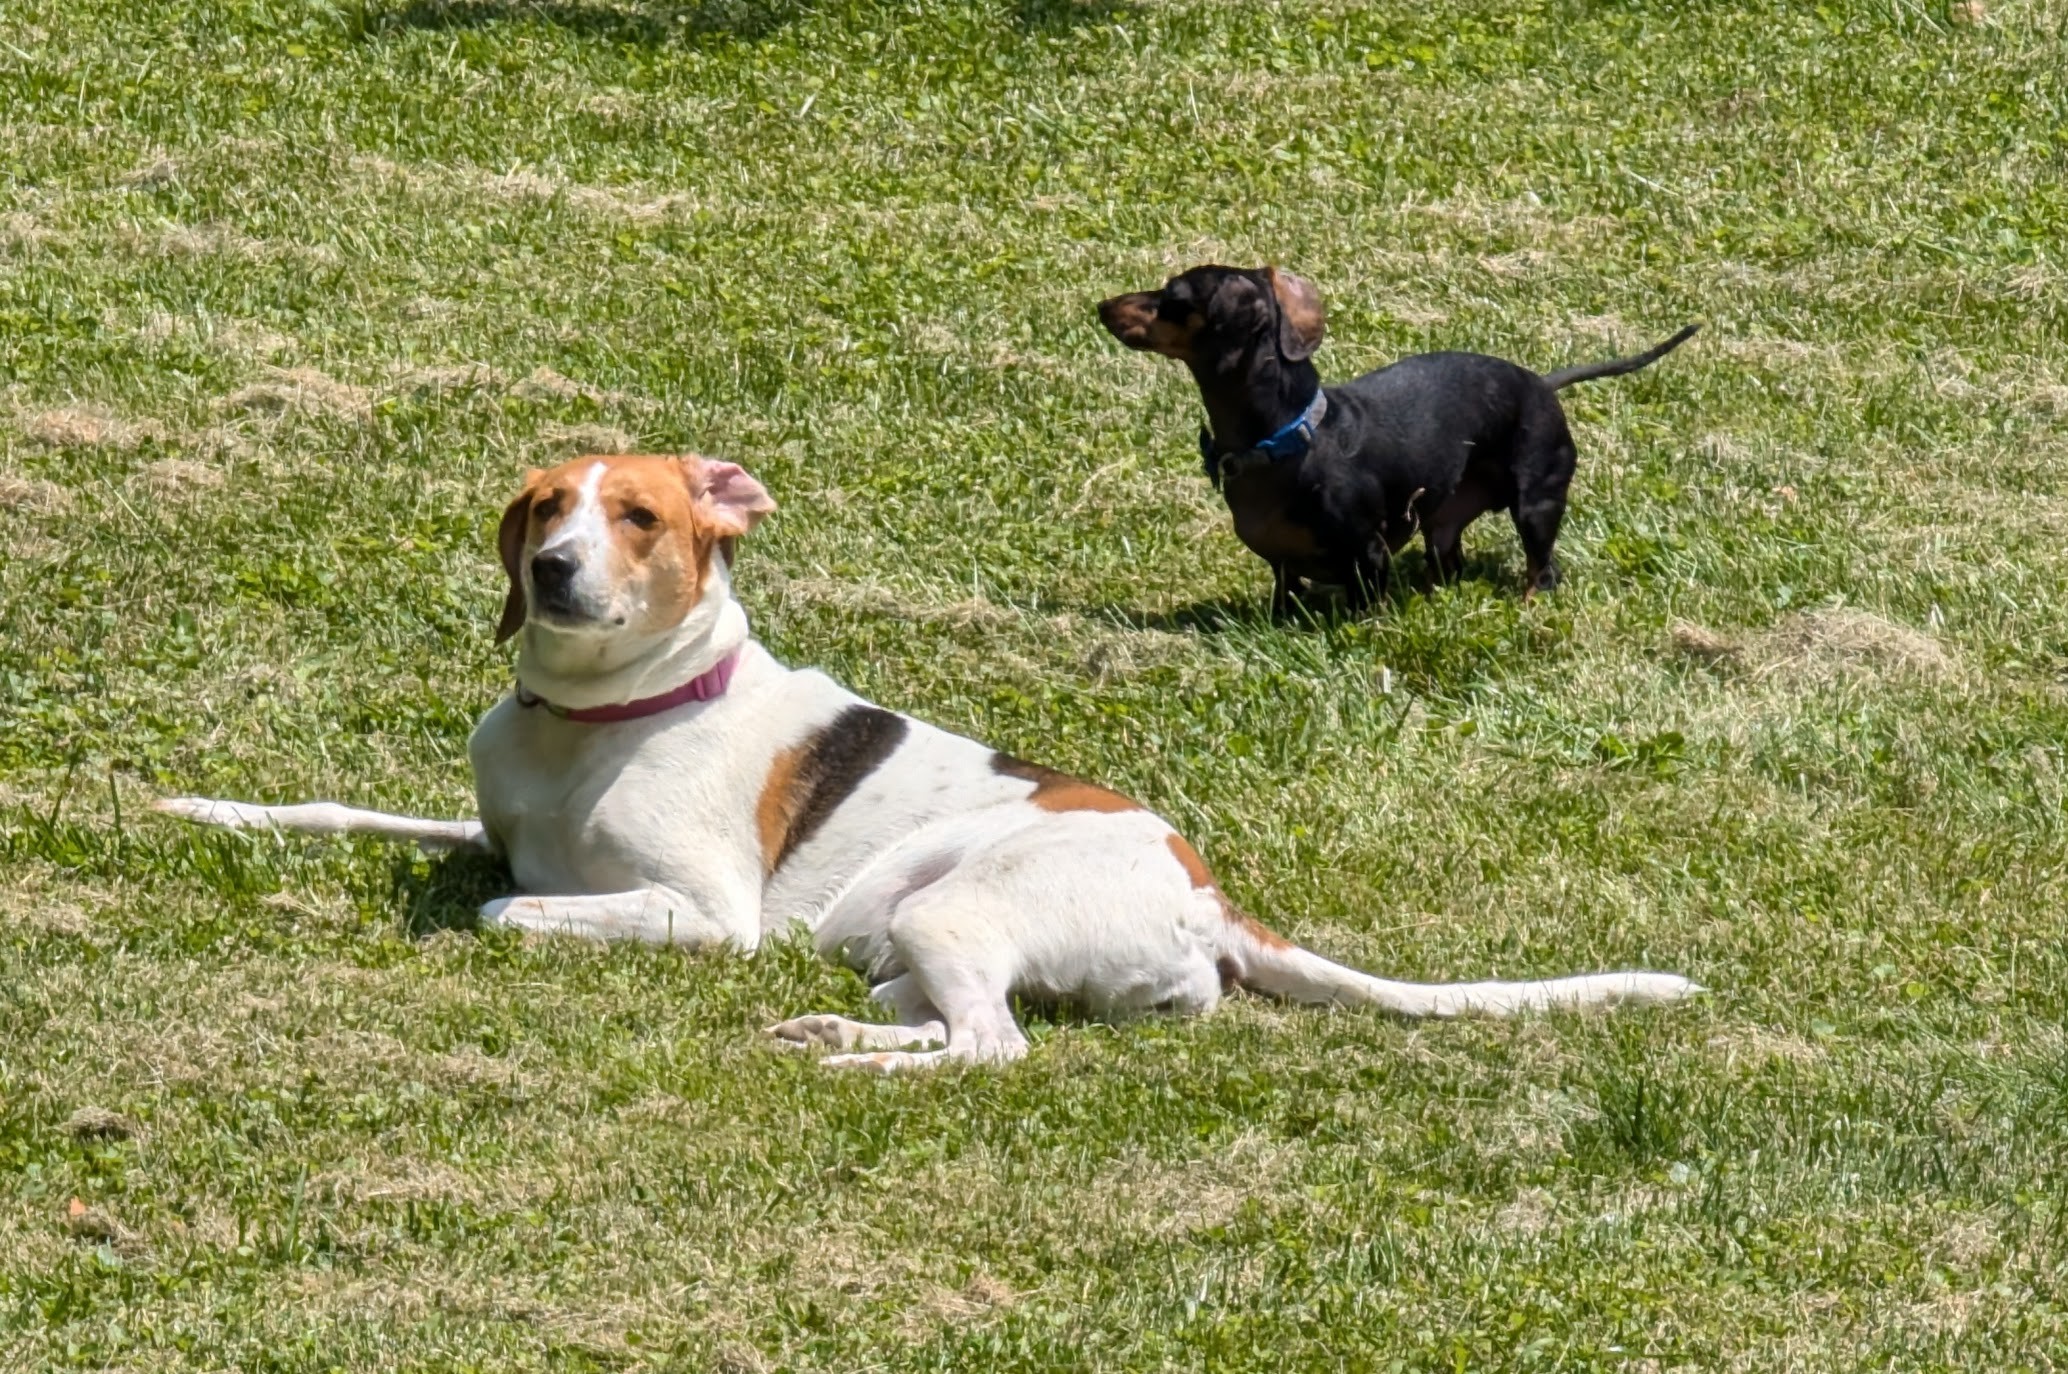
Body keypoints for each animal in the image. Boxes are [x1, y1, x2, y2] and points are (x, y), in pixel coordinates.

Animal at [157, 455, 1695, 1067]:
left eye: (638, 516)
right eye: (544, 506)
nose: (551, 569)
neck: (590, 718)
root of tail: (1211, 896)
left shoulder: (699, 913)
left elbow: (501, 908)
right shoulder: (482, 823)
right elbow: (348, 812)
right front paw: (202, 804)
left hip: (956, 909)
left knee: (994, 1050)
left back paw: (849, 1065)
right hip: (902, 937)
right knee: (950, 1023)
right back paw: (837, 1035)